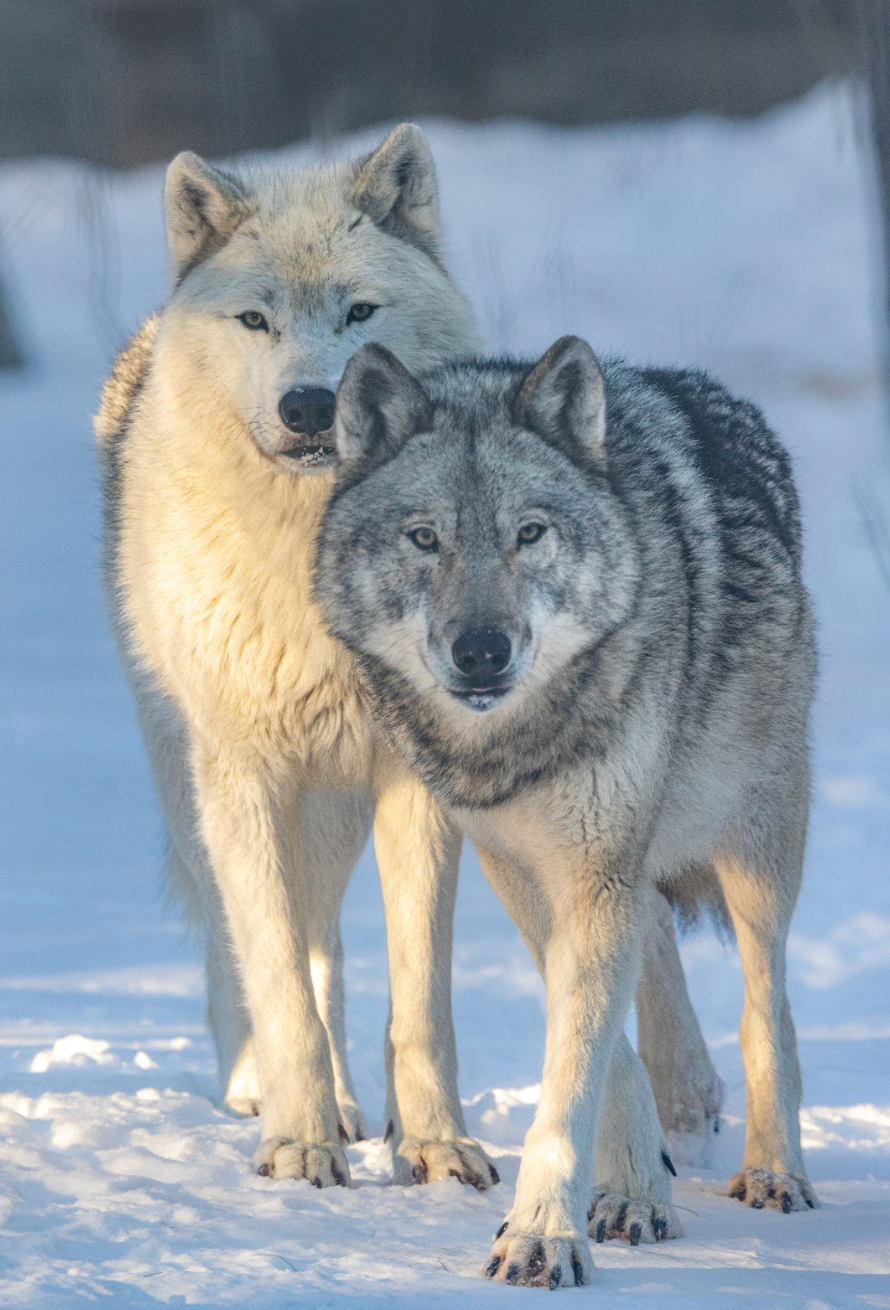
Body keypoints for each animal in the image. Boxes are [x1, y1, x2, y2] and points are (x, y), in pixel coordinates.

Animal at [316, 337, 818, 1285]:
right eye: (425, 538)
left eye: (530, 533)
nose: (481, 650)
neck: (521, 739)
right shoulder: (523, 867)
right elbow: (600, 1050)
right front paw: (630, 1191)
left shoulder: (594, 871)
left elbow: (574, 1072)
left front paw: (543, 1233)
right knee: (660, 963)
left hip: (758, 849)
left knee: (766, 1011)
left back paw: (774, 1170)